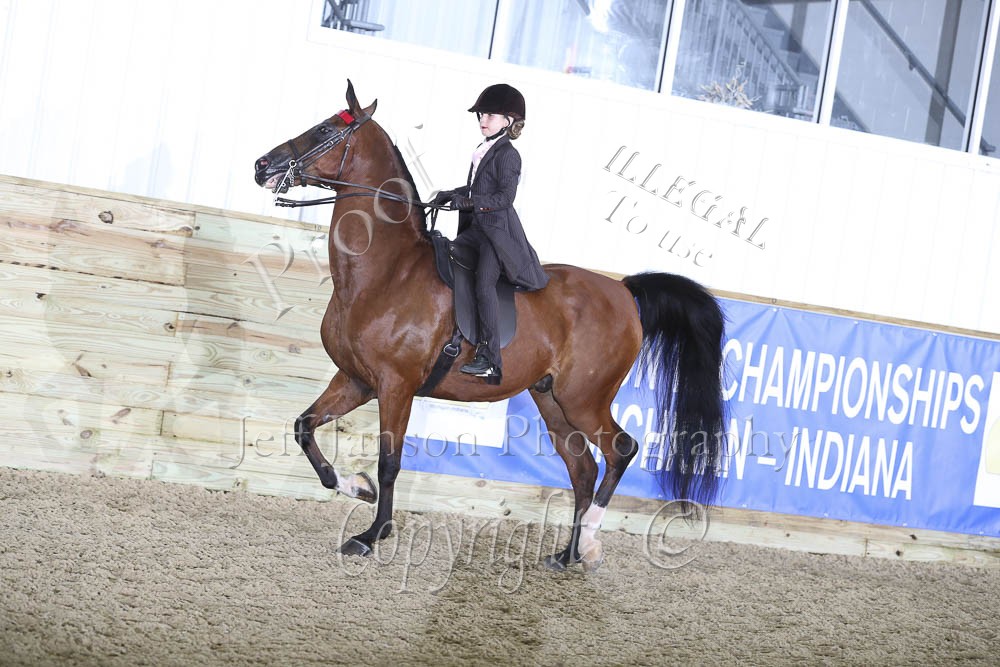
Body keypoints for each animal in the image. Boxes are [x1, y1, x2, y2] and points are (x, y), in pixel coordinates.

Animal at [253, 81, 726, 571]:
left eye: (326, 130)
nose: (262, 165)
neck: (384, 273)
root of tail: (623, 291)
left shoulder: (395, 385)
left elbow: (390, 462)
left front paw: (373, 533)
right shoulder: (355, 380)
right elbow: (304, 427)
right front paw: (356, 488)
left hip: (584, 399)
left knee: (621, 451)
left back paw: (591, 543)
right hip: (552, 400)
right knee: (583, 468)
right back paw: (568, 553)